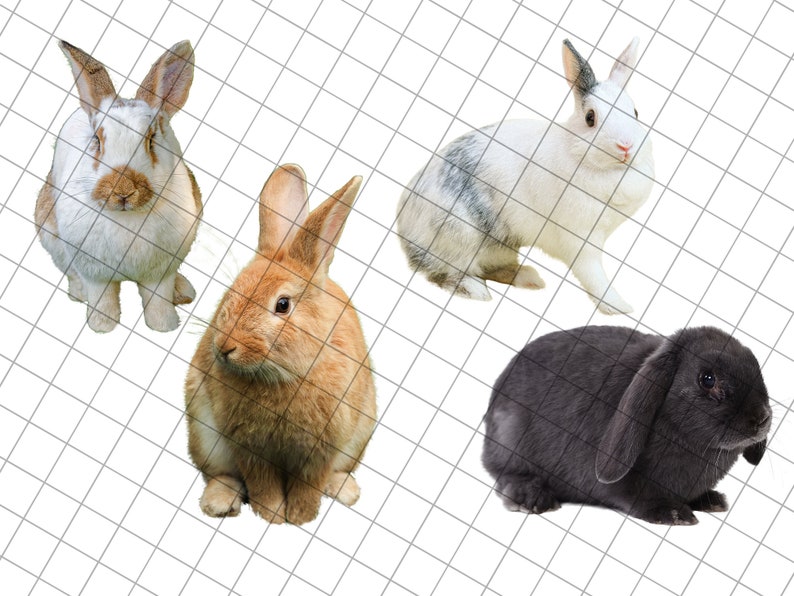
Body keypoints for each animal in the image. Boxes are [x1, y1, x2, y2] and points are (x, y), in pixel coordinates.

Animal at [34, 40, 201, 333]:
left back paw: (183, 292)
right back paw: (79, 293)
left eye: (151, 140)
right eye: (97, 141)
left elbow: (158, 301)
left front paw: (165, 327)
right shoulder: (96, 274)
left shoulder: (160, 273)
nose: (122, 190)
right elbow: (103, 299)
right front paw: (102, 327)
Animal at [184, 164, 377, 526]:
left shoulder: (321, 450)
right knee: (221, 474)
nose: (225, 347)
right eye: (231, 291)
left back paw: (345, 490)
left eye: (283, 305)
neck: (283, 375)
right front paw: (272, 518)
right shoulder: (250, 448)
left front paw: (300, 518)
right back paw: (219, 503)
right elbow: (263, 485)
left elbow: (308, 485)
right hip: (204, 437)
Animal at [396, 38, 654, 314]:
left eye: (635, 113)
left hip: (499, 246)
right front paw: (618, 307)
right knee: (443, 273)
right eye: (590, 118)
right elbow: (593, 275)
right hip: (460, 237)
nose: (626, 146)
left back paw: (530, 278)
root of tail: (404, 229)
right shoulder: (580, 239)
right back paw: (478, 291)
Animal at [482, 325, 772, 525]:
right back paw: (532, 499)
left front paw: (710, 501)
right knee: (504, 473)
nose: (761, 419)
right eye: (708, 379)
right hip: (510, 442)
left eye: (756, 368)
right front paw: (673, 513)